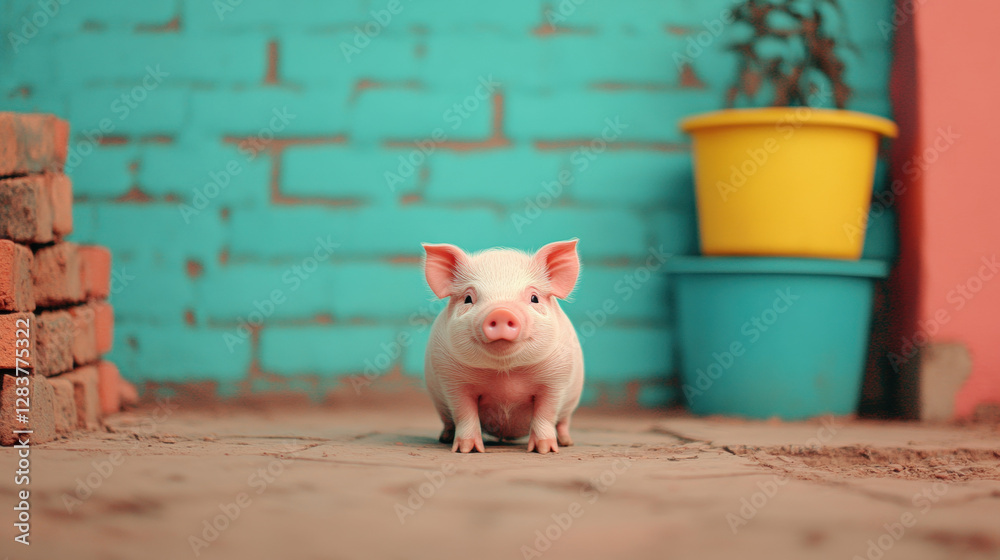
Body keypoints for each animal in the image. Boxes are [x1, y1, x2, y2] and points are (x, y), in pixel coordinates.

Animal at [421, 239, 584, 454]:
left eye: (534, 298)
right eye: (468, 299)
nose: (501, 312)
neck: (505, 375)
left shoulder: (556, 378)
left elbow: (546, 413)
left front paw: (545, 450)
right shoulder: (452, 380)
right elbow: (464, 414)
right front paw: (468, 450)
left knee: (563, 422)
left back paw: (567, 442)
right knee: (449, 423)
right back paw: (444, 439)